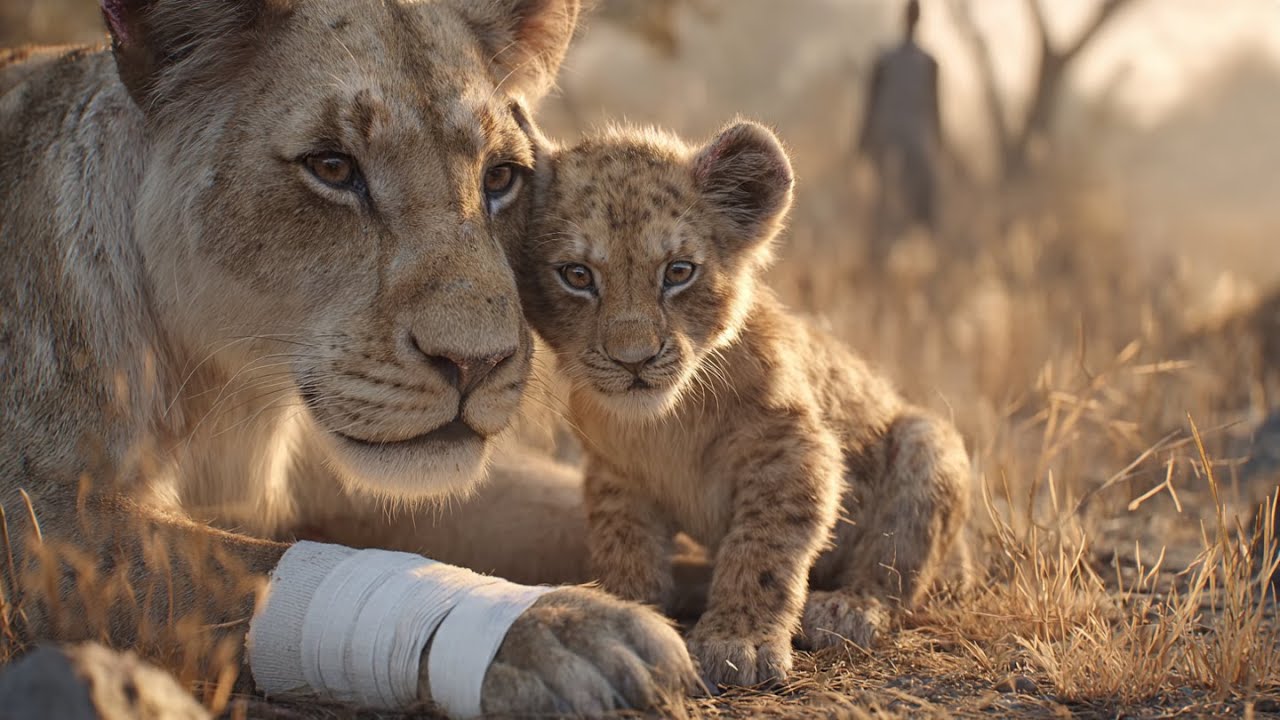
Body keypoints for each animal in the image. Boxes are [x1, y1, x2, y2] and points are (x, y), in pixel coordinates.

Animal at [0, 0, 698, 714]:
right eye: (333, 168)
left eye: (501, 177)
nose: (476, 364)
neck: (232, 400)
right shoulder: (33, 520)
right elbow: (238, 566)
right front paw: (559, 630)